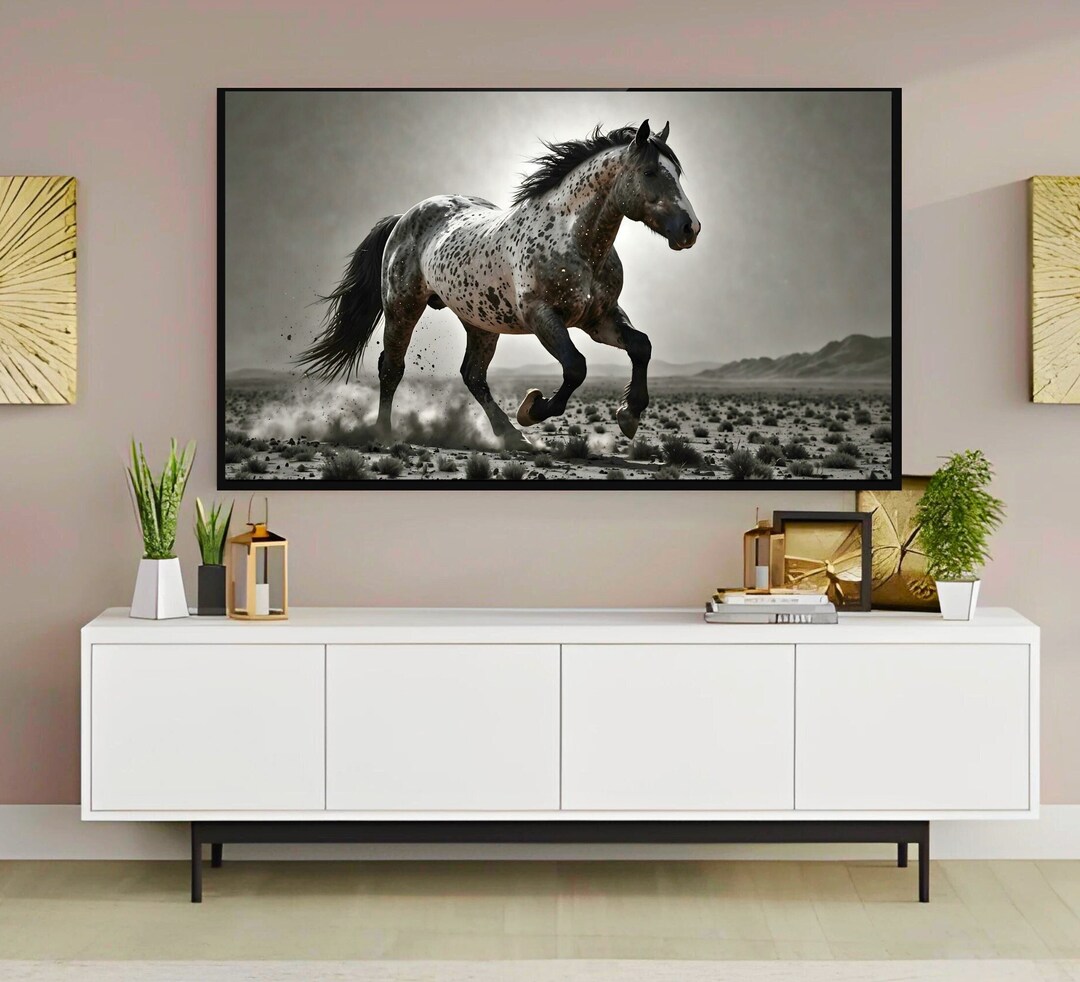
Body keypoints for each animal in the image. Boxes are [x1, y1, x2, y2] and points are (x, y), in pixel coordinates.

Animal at [299, 119, 700, 449]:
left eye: (678, 175)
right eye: (650, 171)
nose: (690, 229)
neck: (575, 242)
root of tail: (404, 218)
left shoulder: (598, 319)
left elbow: (641, 346)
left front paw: (629, 415)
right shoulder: (542, 316)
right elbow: (576, 367)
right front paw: (533, 407)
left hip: (480, 322)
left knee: (473, 375)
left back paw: (510, 435)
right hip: (402, 309)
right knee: (392, 368)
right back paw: (385, 433)